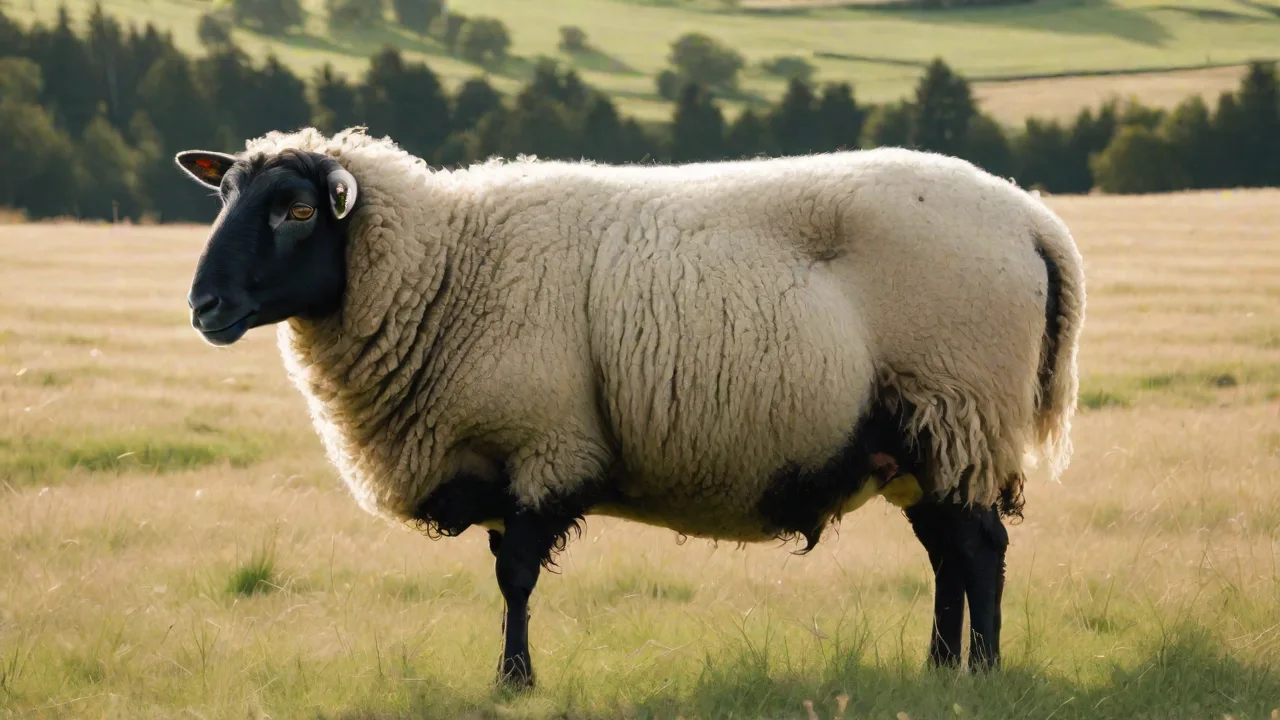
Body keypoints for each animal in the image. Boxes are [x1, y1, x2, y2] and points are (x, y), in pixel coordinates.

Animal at [173, 126, 1085, 689]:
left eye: (296, 212)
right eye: (223, 202)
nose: (204, 307)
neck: (445, 267)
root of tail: (1032, 219)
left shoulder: (546, 443)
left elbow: (513, 577)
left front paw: (514, 682)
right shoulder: (503, 456)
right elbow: (506, 573)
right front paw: (514, 676)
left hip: (959, 404)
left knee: (981, 550)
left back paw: (983, 674)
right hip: (921, 439)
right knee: (946, 553)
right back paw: (937, 670)